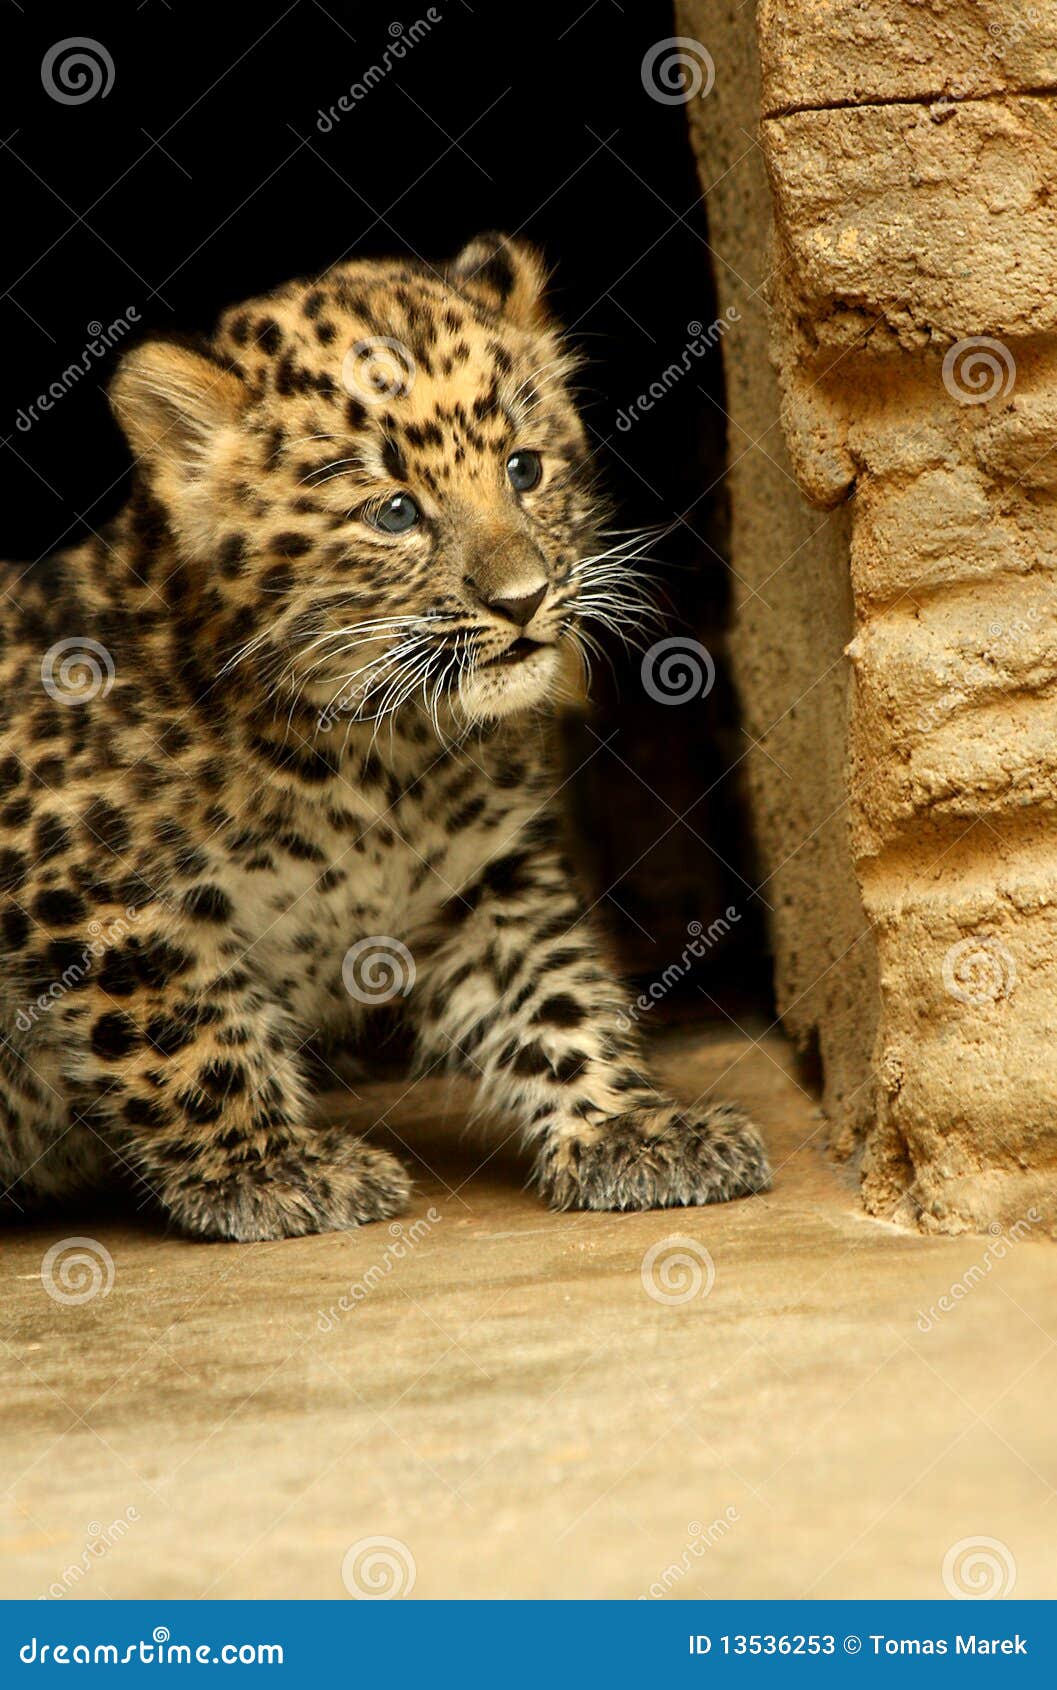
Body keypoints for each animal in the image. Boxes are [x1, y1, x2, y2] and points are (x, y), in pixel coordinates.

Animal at [0, 232, 770, 1242]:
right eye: (394, 513)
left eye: (524, 469)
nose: (522, 599)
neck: (378, 755)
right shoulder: (95, 897)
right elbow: (182, 1039)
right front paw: (271, 1168)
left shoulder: (482, 879)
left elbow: (554, 995)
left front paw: (628, 1128)